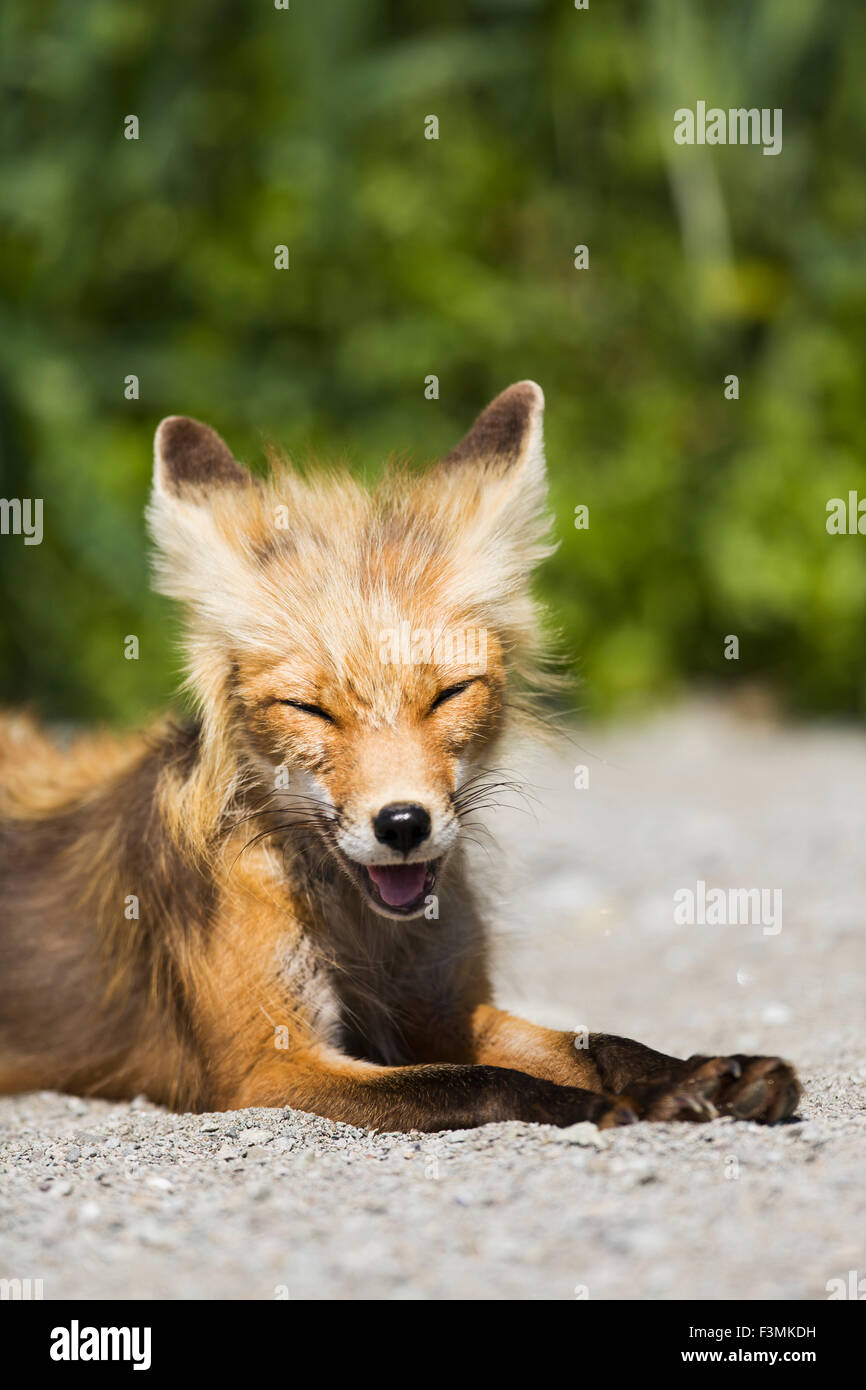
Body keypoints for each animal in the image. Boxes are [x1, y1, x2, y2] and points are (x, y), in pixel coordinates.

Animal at [0, 382, 800, 1130]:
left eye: (448, 694)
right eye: (310, 709)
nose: (404, 825)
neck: (370, 940)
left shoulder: (445, 1009)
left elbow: (598, 1042)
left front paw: (696, 1073)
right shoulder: (268, 1068)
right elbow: (478, 1083)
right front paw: (608, 1108)